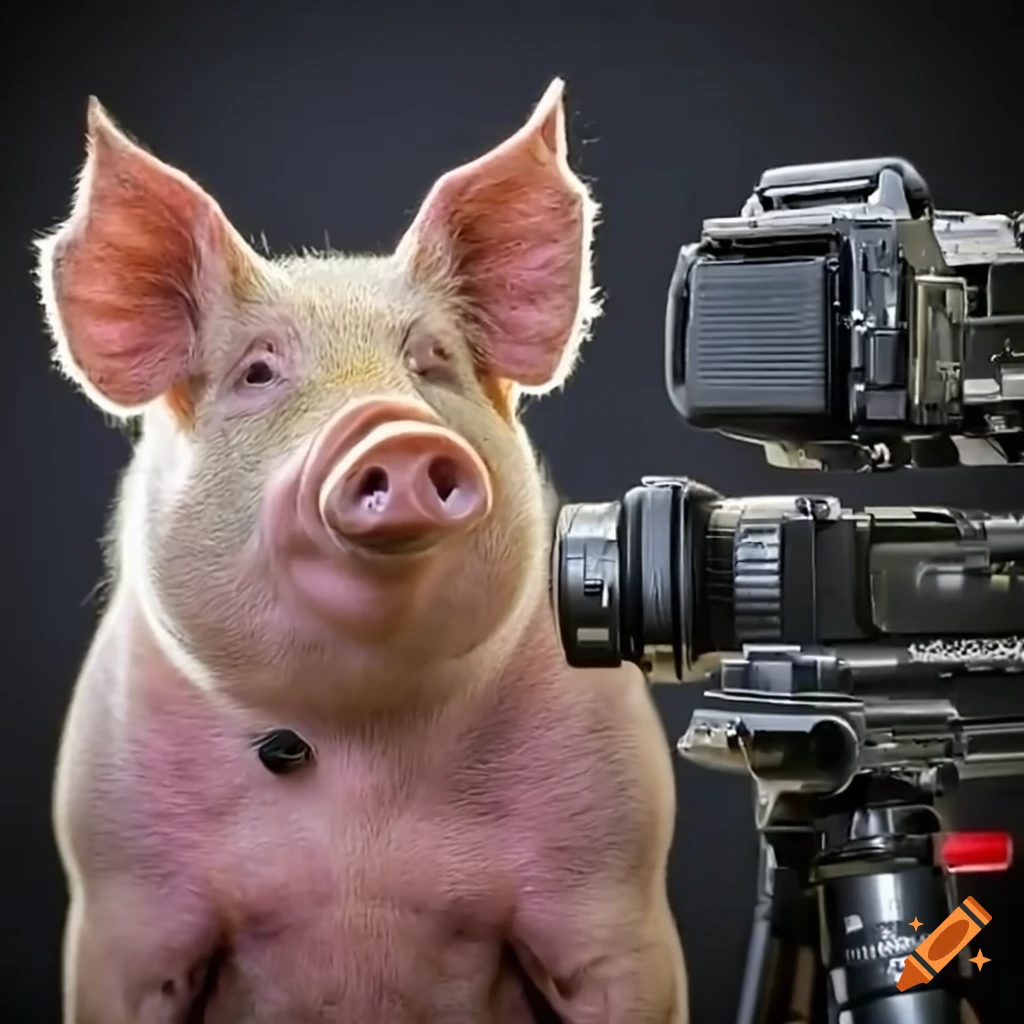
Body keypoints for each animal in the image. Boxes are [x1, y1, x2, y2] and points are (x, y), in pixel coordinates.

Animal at [36, 79, 688, 1024]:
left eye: (432, 360)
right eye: (259, 372)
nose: (397, 430)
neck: (362, 743)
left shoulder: (616, 882)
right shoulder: (119, 893)